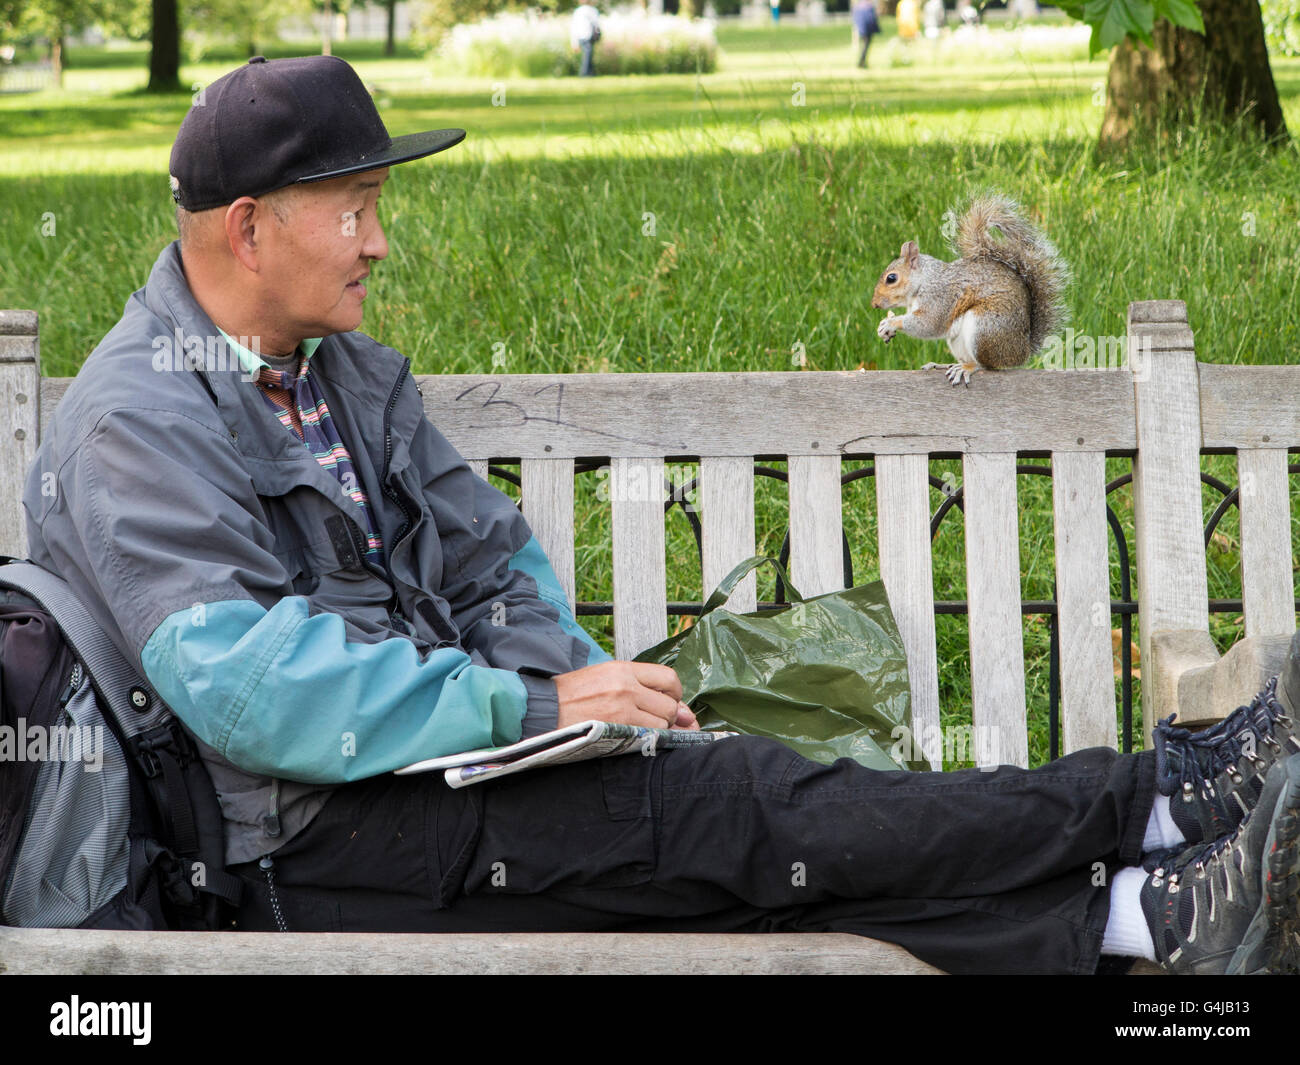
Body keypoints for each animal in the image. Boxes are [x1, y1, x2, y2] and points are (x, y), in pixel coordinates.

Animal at [871, 192, 1071, 386]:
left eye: (891, 278)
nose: (874, 304)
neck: (923, 281)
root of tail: (1021, 351)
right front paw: (884, 327)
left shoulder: (940, 297)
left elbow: (928, 323)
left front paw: (891, 323)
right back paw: (945, 365)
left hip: (985, 327)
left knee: (987, 365)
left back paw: (967, 368)